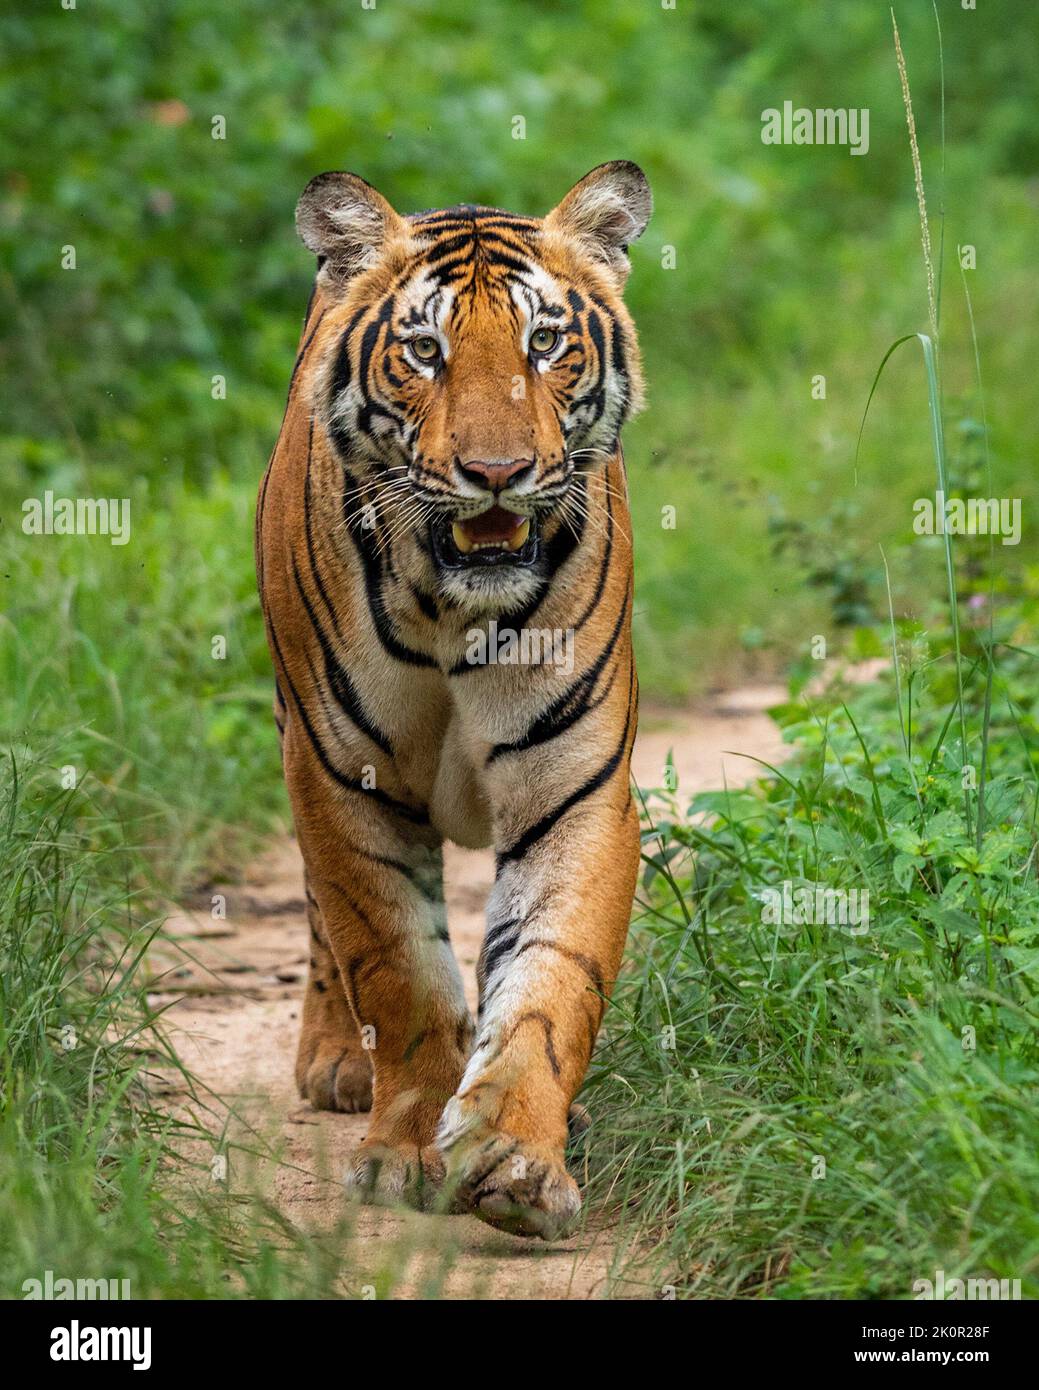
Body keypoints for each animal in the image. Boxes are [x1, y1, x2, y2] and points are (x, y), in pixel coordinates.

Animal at [255, 160, 651, 1238]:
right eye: (424, 351)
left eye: (543, 343)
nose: (497, 473)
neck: (452, 606)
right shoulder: (339, 779)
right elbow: (396, 968)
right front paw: (407, 1150)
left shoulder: (574, 789)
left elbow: (549, 981)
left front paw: (514, 1155)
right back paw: (336, 1063)